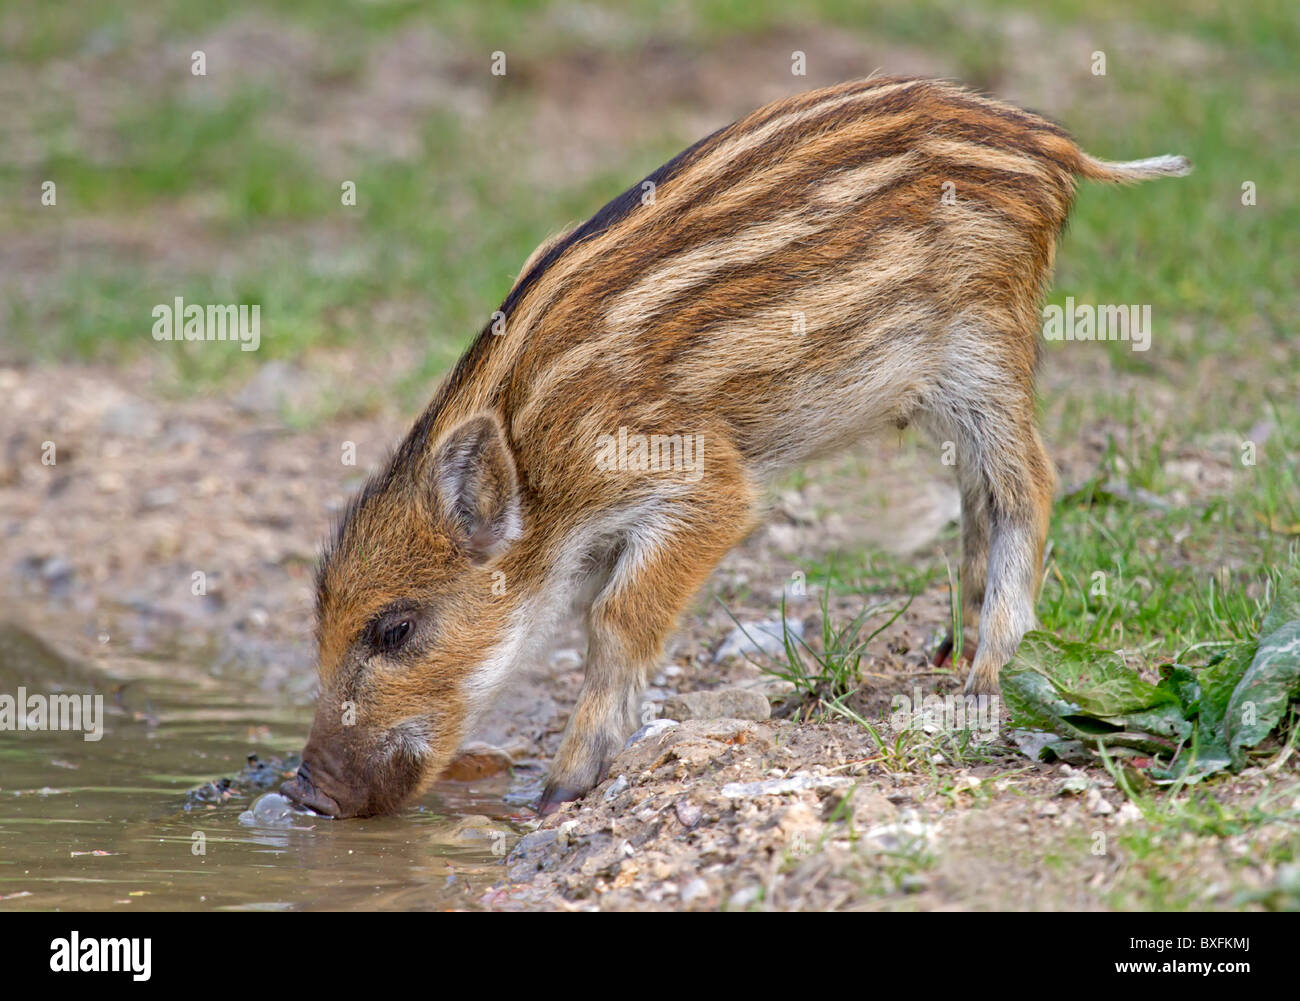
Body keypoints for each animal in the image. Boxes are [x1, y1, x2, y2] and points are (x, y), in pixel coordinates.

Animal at [281, 76, 1189, 818]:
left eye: (394, 629)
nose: (308, 795)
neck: (541, 462)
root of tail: (1049, 142)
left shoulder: (697, 478)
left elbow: (615, 619)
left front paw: (561, 791)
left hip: (983, 346)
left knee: (1030, 482)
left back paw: (986, 675)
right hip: (937, 385)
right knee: (979, 490)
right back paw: (951, 646)